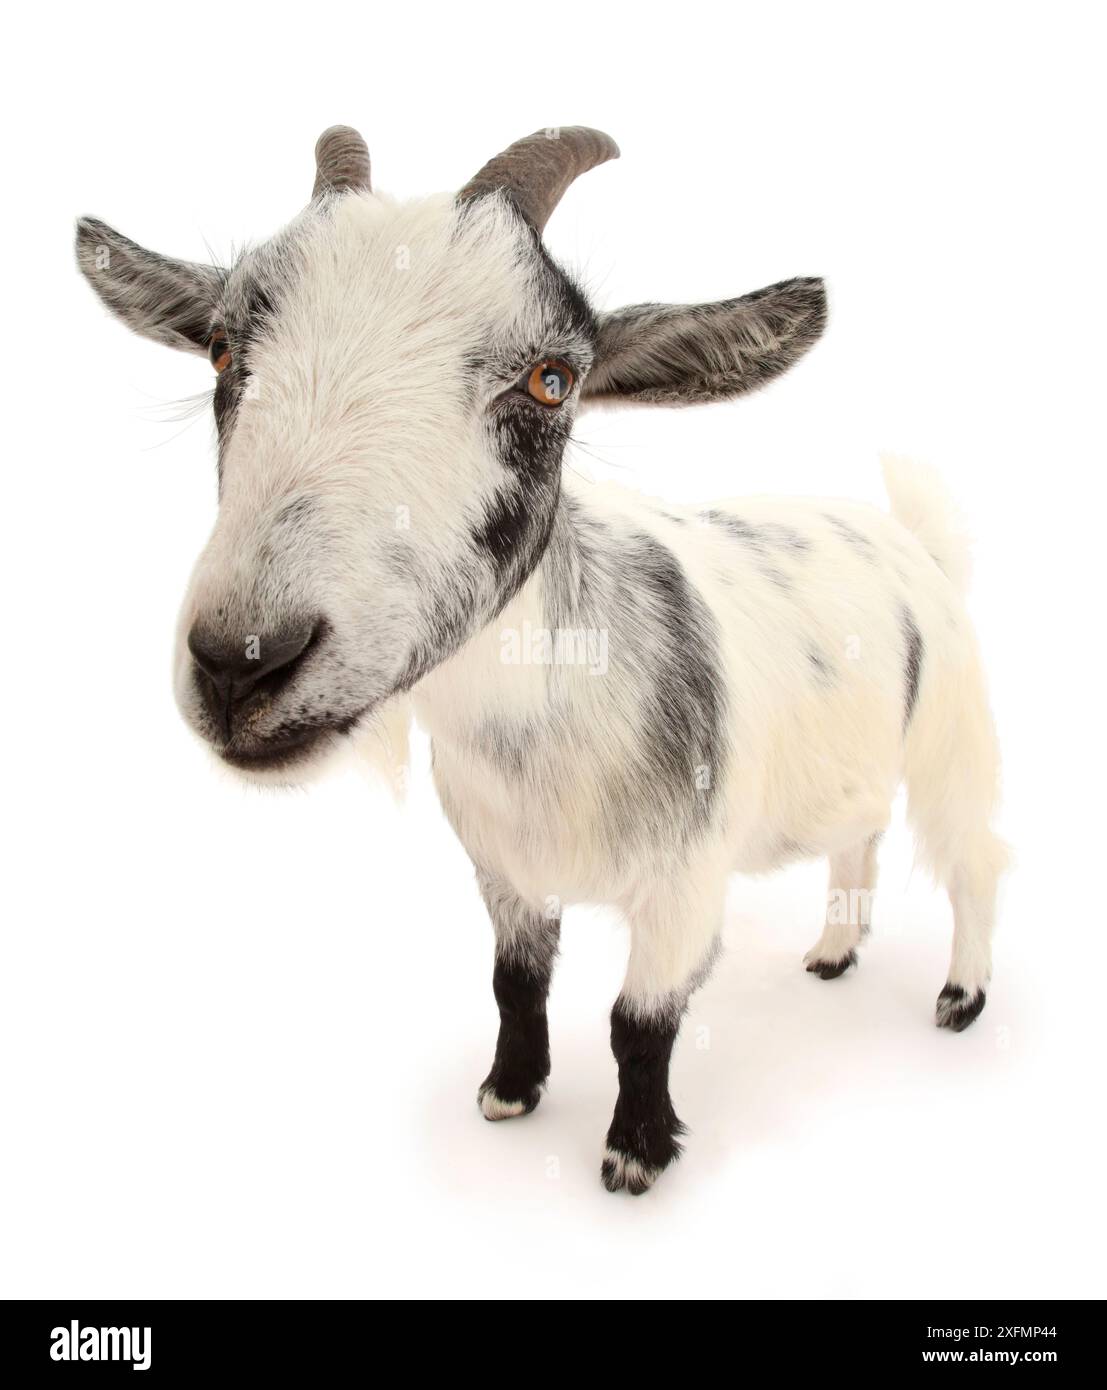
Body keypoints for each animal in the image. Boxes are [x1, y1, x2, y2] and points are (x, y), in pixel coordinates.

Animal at [76, 126, 1007, 1194]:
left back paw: (960, 996)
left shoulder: (687, 884)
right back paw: (832, 952)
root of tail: (910, 540)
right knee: (859, 839)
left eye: (550, 381)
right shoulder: (502, 868)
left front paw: (634, 1153)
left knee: (973, 860)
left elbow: (640, 1022)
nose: (242, 662)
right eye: (223, 348)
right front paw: (509, 1092)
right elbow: (514, 983)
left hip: (953, 741)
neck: (548, 730)